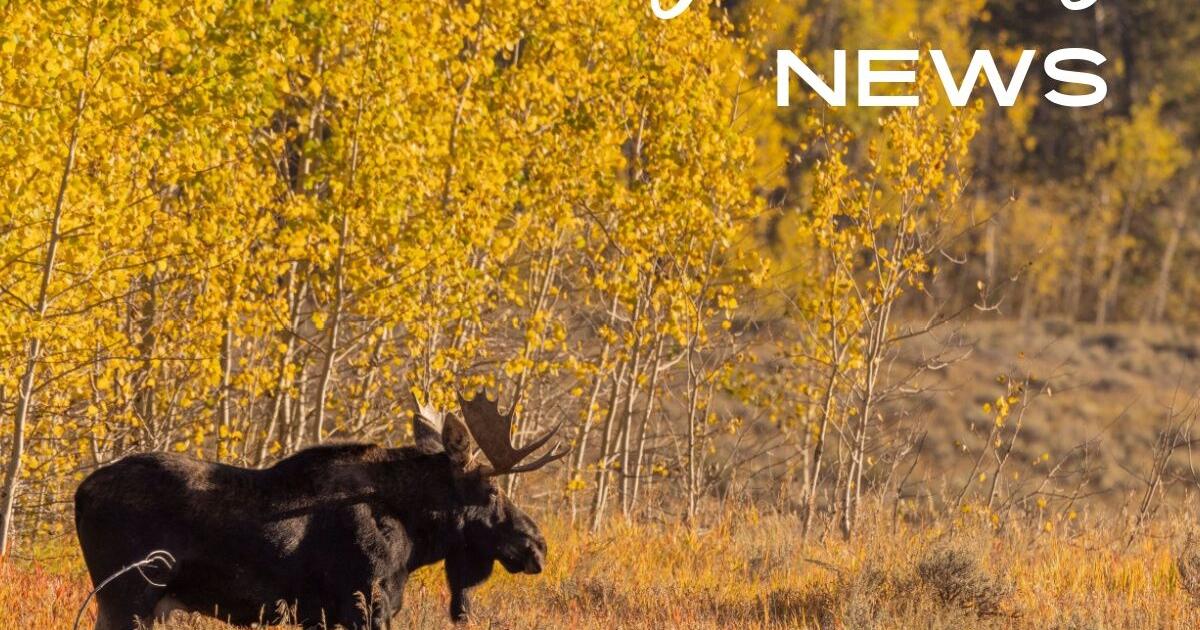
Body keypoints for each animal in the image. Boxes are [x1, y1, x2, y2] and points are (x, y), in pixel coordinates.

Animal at [73, 391, 567, 629]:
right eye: (491, 490)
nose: (538, 544)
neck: (416, 537)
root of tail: (79, 494)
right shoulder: (366, 602)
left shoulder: (319, 615)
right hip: (129, 596)